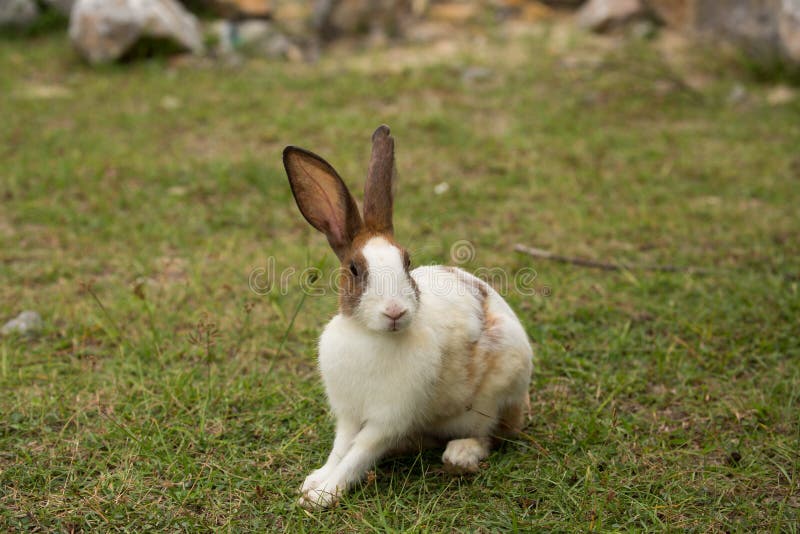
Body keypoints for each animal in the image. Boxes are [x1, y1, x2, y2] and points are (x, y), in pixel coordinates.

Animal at [282, 125, 533, 510]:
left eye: (407, 262)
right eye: (354, 269)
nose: (395, 311)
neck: (371, 336)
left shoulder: (389, 418)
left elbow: (359, 452)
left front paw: (322, 496)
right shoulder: (348, 413)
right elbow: (341, 448)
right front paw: (314, 481)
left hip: (494, 396)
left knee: (488, 436)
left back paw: (459, 455)